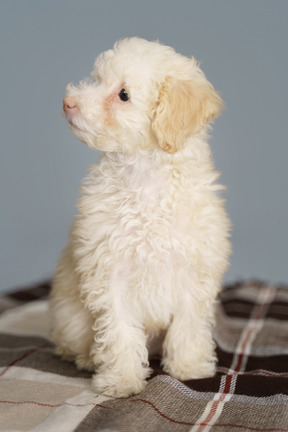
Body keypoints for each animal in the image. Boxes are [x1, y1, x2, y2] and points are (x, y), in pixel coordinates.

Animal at [49, 37, 230, 398]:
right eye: (97, 79)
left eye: (123, 95)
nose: (68, 102)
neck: (146, 178)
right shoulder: (109, 273)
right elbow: (118, 332)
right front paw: (121, 379)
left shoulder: (193, 271)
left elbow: (188, 325)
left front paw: (189, 367)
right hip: (70, 318)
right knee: (70, 342)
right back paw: (87, 358)